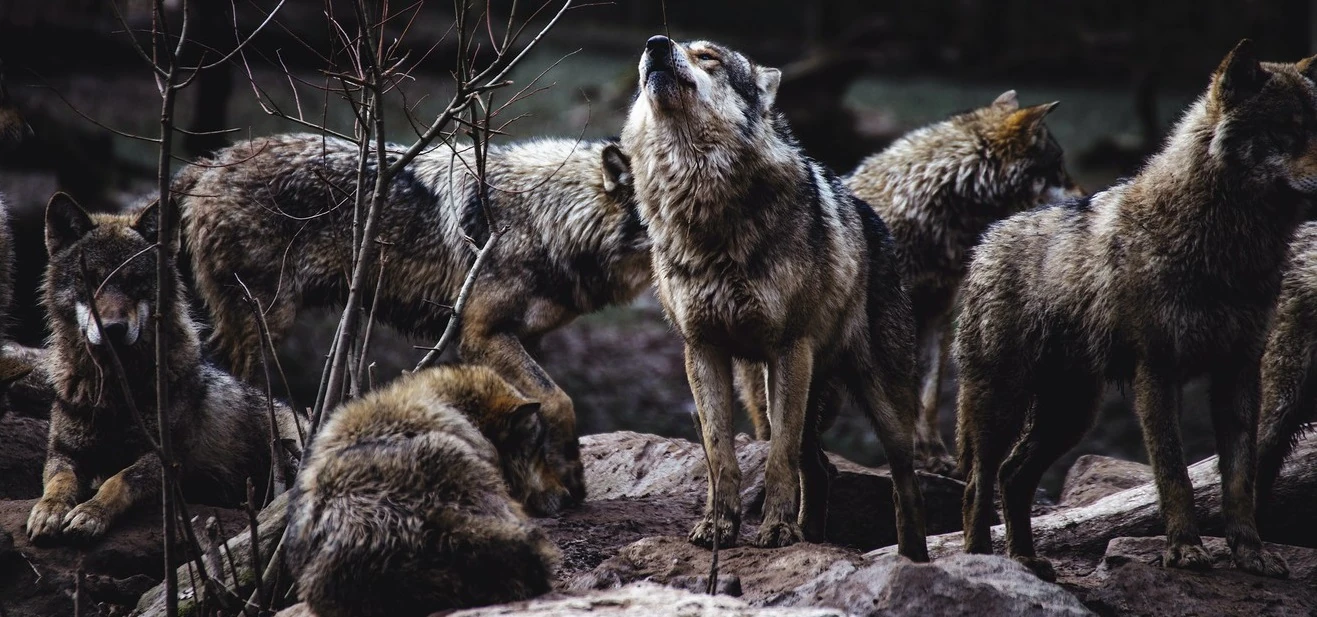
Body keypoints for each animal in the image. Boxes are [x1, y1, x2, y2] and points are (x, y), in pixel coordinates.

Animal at [25, 193, 306, 543]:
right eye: (91, 280)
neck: (116, 392)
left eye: (135, 281)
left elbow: (118, 480)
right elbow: (59, 481)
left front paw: (91, 513)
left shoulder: (165, 459)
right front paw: (48, 510)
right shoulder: (63, 452)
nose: (113, 329)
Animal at [175, 134, 645, 512]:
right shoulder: (481, 334)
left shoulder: (526, 338)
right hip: (266, 324)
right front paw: (570, 480)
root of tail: (208, 162)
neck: (547, 217)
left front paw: (550, 486)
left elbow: (537, 410)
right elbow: (559, 400)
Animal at [621, 35, 928, 558]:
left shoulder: (788, 348)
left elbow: (777, 459)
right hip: (773, 390)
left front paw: (779, 531)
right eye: (665, 46)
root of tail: (874, 218)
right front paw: (718, 527)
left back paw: (913, 559)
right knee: (821, 469)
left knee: (903, 483)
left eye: (708, 57)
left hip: (878, 401)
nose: (655, 45)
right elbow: (720, 455)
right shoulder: (702, 350)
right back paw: (814, 538)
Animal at [954, 40, 1315, 581]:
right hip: (1004, 402)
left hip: (1071, 413)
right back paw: (982, 561)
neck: (1226, 248)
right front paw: (1185, 550)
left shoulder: (1239, 372)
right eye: (1288, 130)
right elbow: (1174, 474)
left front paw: (1250, 553)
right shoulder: (1157, 372)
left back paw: (1025, 561)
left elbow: (1239, 480)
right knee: (979, 482)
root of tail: (988, 237)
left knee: (1012, 475)